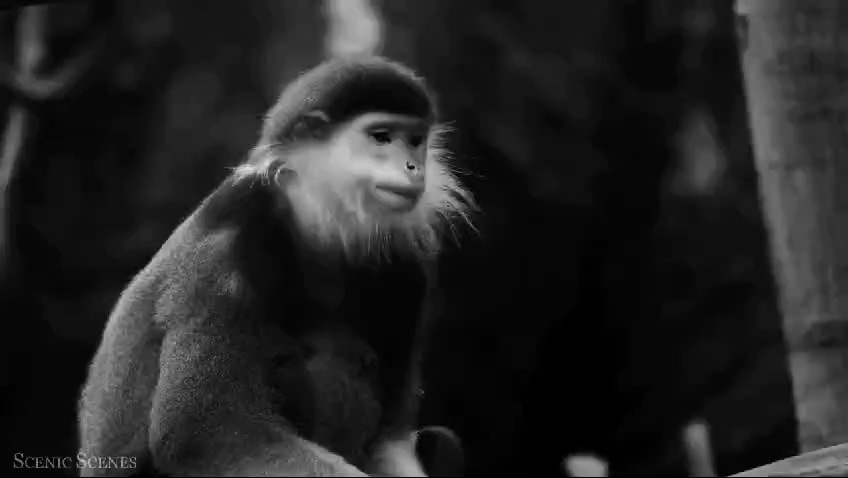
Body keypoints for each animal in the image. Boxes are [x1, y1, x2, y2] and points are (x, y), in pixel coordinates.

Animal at [76, 55, 475, 477]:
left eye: (415, 140)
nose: (414, 166)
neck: (315, 221)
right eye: (381, 137)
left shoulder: (404, 264)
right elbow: (205, 433)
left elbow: (387, 442)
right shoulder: (237, 231)